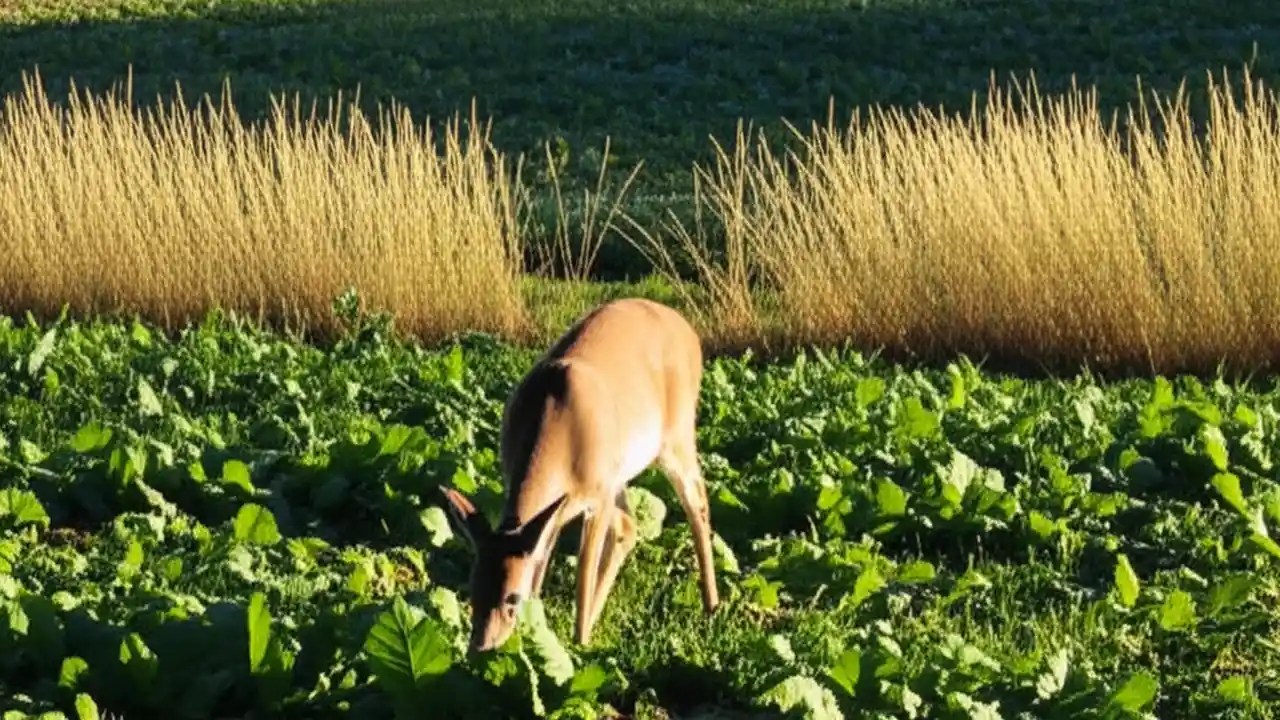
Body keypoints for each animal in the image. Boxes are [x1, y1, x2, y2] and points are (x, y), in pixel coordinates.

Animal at [440, 298, 720, 653]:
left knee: (697, 502)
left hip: (677, 437)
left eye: (512, 599)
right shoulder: (559, 508)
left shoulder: (596, 498)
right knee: (629, 525)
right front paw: (538, 637)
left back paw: (712, 604)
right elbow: (541, 562)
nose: (481, 647)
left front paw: (580, 644)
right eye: (472, 587)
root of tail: (688, 330)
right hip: (619, 474)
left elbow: (582, 578)